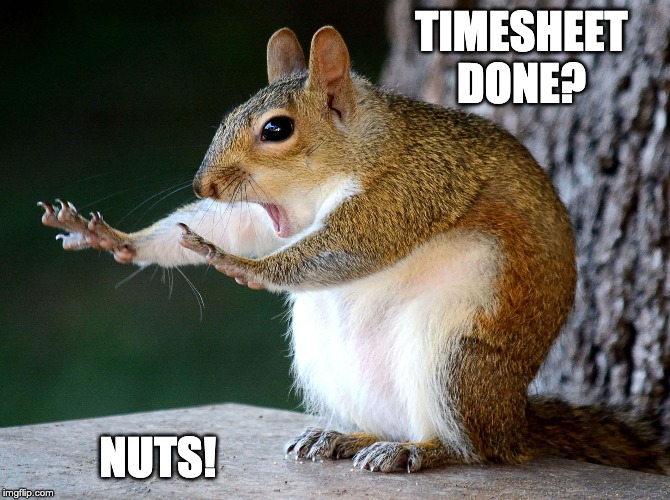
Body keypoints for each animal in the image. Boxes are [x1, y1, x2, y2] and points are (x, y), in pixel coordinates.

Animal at [39, 26, 668, 474]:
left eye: (276, 129)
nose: (204, 186)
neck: (361, 148)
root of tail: (514, 422)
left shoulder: (411, 187)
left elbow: (351, 247)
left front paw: (242, 266)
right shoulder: (271, 214)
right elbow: (236, 225)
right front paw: (116, 238)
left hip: (456, 361)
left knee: (476, 450)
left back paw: (421, 451)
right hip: (331, 362)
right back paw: (343, 436)